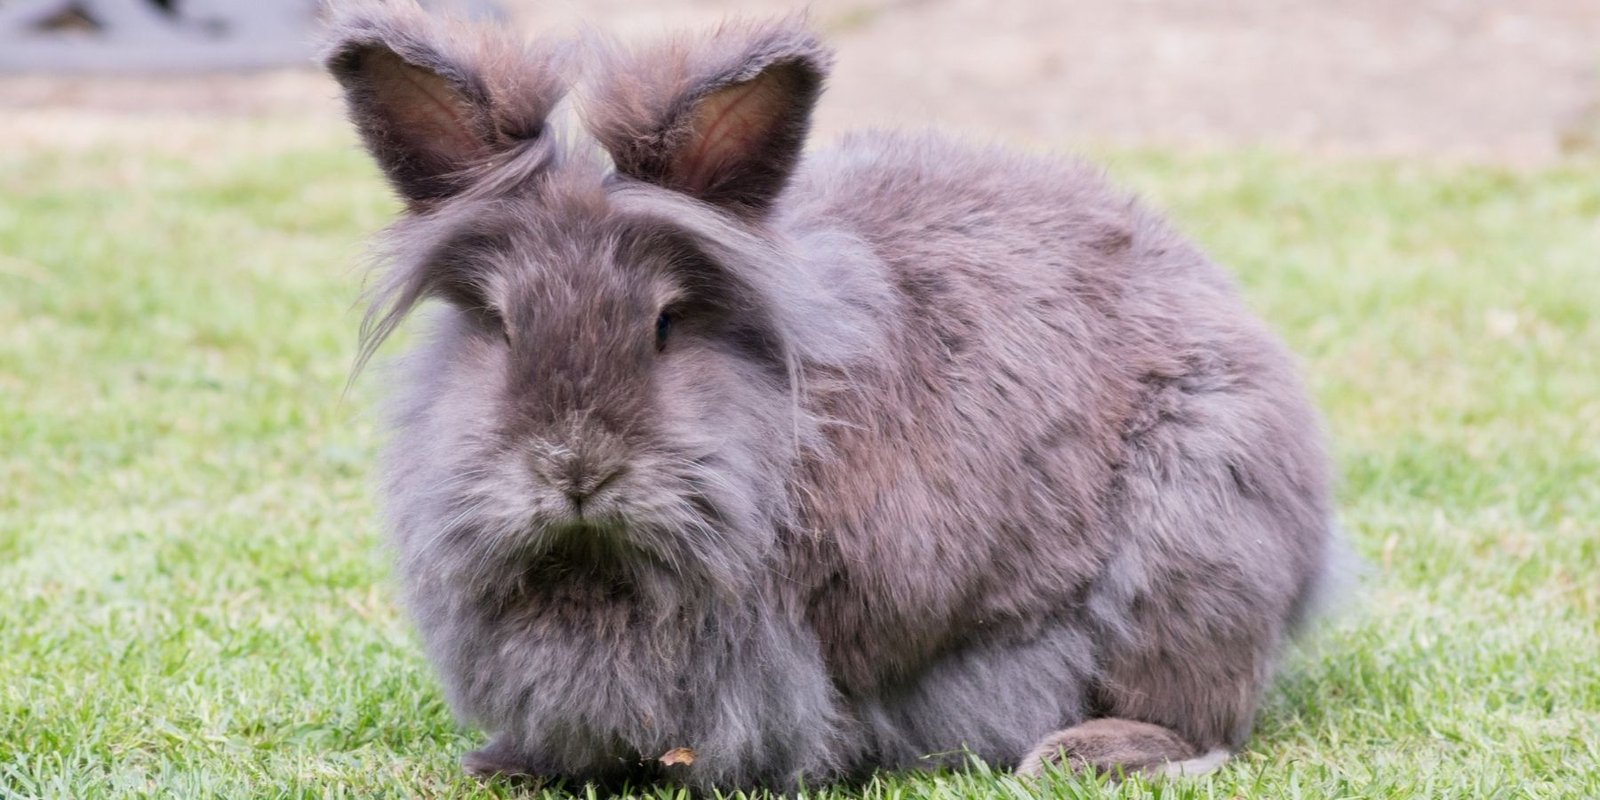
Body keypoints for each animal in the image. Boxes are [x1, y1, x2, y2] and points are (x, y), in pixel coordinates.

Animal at [324, 3, 1337, 791]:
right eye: (499, 325)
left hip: (1199, 553)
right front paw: (507, 762)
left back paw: (1084, 751)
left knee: (1203, 717)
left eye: (666, 324)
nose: (576, 468)